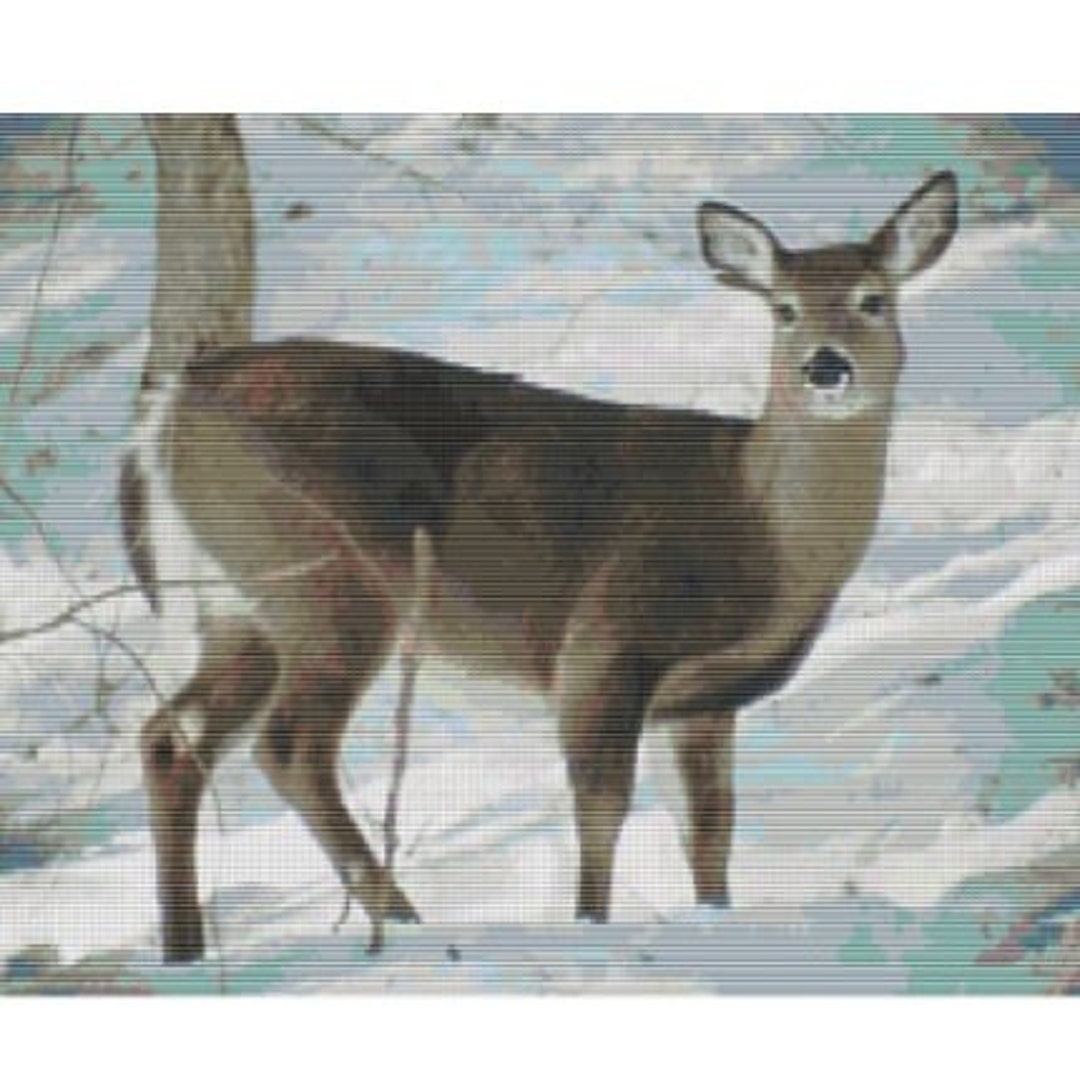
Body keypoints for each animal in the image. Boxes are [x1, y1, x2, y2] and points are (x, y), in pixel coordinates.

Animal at [121, 170, 959, 963]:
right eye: (783, 310)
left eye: (873, 300)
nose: (826, 367)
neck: (759, 527)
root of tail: (169, 411)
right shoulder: (608, 637)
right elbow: (602, 805)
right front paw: (590, 923)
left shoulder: (701, 699)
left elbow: (710, 828)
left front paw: (716, 918)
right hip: (329, 571)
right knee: (289, 745)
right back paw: (403, 923)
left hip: (237, 606)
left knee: (172, 738)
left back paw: (185, 950)